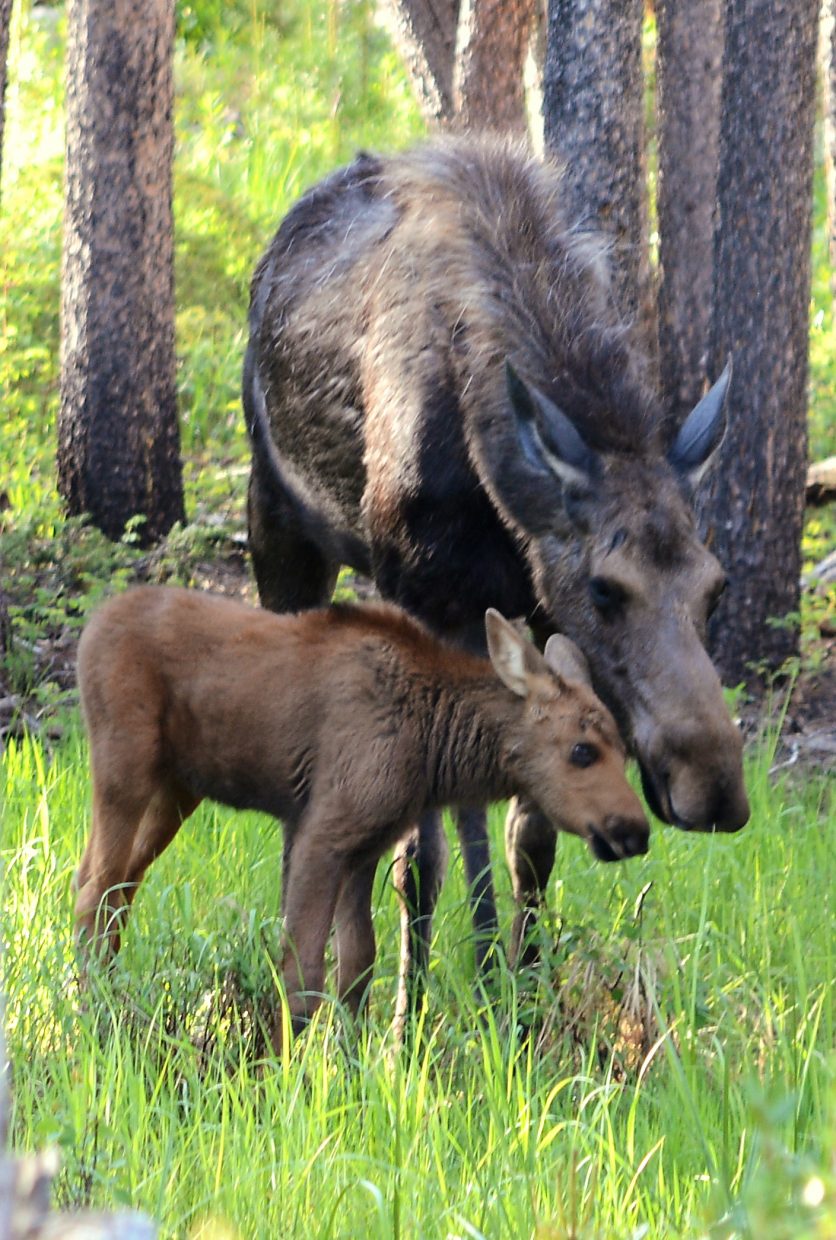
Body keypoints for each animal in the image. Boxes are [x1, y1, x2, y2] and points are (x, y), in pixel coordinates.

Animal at [74, 586, 649, 1046]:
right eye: (581, 751)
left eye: (625, 749)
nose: (636, 831)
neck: (434, 754)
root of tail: (92, 624)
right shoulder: (322, 832)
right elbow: (303, 970)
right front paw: (278, 1076)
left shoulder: (367, 843)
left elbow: (357, 965)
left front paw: (349, 1066)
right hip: (124, 767)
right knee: (94, 890)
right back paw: (90, 1017)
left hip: (176, 790)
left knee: (111, 886)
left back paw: (111, 1000)